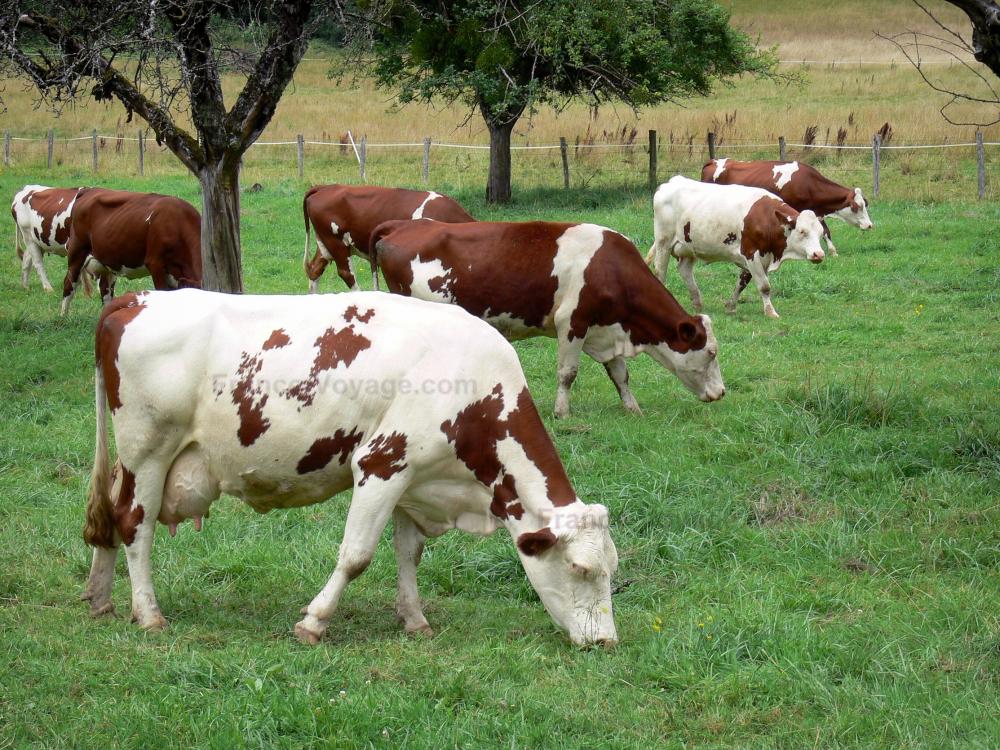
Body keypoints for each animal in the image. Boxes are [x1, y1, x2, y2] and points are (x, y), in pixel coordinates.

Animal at [60, 189, 202, 316]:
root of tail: (89, 190)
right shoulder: (155, 263)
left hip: (106, 262)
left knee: (105, 290)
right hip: (77, 252)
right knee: (69, 283)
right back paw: (64, 317)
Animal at [81, 289, 619, 647]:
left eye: (612, 568)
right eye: (580, 568)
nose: (606, 641)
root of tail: (136, 297)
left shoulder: (416, 479)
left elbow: (409, 553)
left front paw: (414, 619)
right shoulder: (382, 463)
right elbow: (356, 556)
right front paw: (313, 622)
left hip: (134, 459)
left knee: (109, 515)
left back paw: (101, 597)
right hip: (149, 449)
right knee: (135, 524)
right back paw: (148, 612)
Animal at [371, 219, 725, 418]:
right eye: (711, 353)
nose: (722, 393)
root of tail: (403, 225)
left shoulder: (606, 329)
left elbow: (620, 375)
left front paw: (632, 409)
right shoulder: (572, 323)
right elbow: (568, 374)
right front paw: (562, 412)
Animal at [646, 176, 825, 319]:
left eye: (821, 233)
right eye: (802, 231)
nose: (819, 254)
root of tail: (671, 182)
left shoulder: (757, 258)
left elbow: (743, 282)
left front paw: (731, 306)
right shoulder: (751, 253)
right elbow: (764, 286)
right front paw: (770, 312)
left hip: (688, 247)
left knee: (684, 270)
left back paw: (697, 302)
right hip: (663, 242)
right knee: (660, 272)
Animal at [701, 158, 873, 256]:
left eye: (865, 204)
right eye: (857, 206)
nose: (870, 225)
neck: (808, 183)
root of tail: (714, 160)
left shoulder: (814, 212)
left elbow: (825, 231)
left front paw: (833, 251)